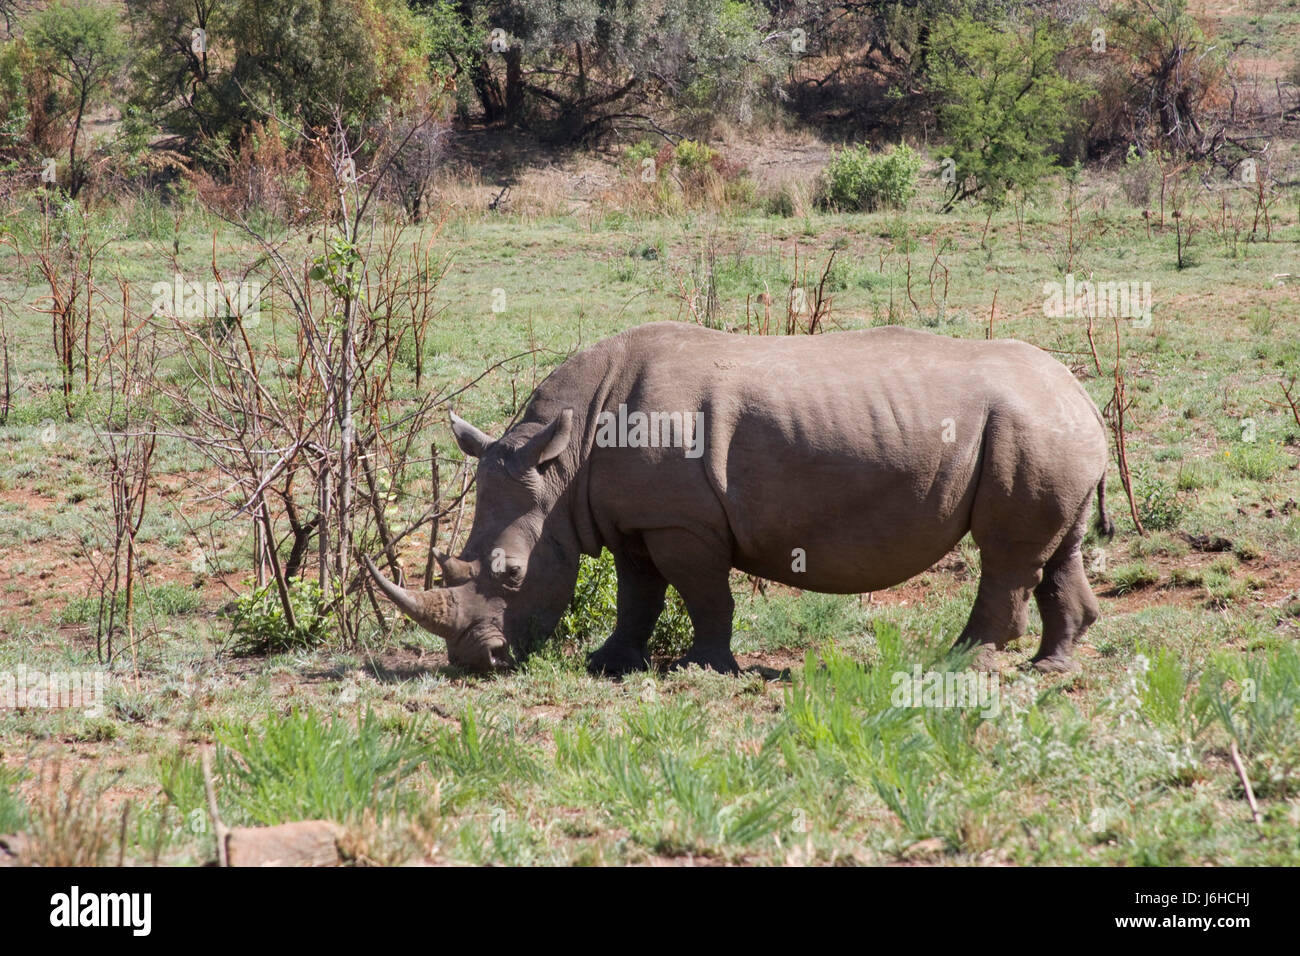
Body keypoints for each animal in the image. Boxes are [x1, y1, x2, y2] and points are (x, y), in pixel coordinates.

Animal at [365, 322, 1112, 675]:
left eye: (513, 575)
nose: (474, 662)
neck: (561, 463)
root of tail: (1082, 395)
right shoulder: (635, 518)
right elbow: (639, 594)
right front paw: (609, 664)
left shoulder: (681, 523)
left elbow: (702, 594)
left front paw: (702, 667)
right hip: (1050, 428)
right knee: (1057, 548)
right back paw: (1051, 665)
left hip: (1027, 426)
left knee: (1007, 553)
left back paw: (964, 661)